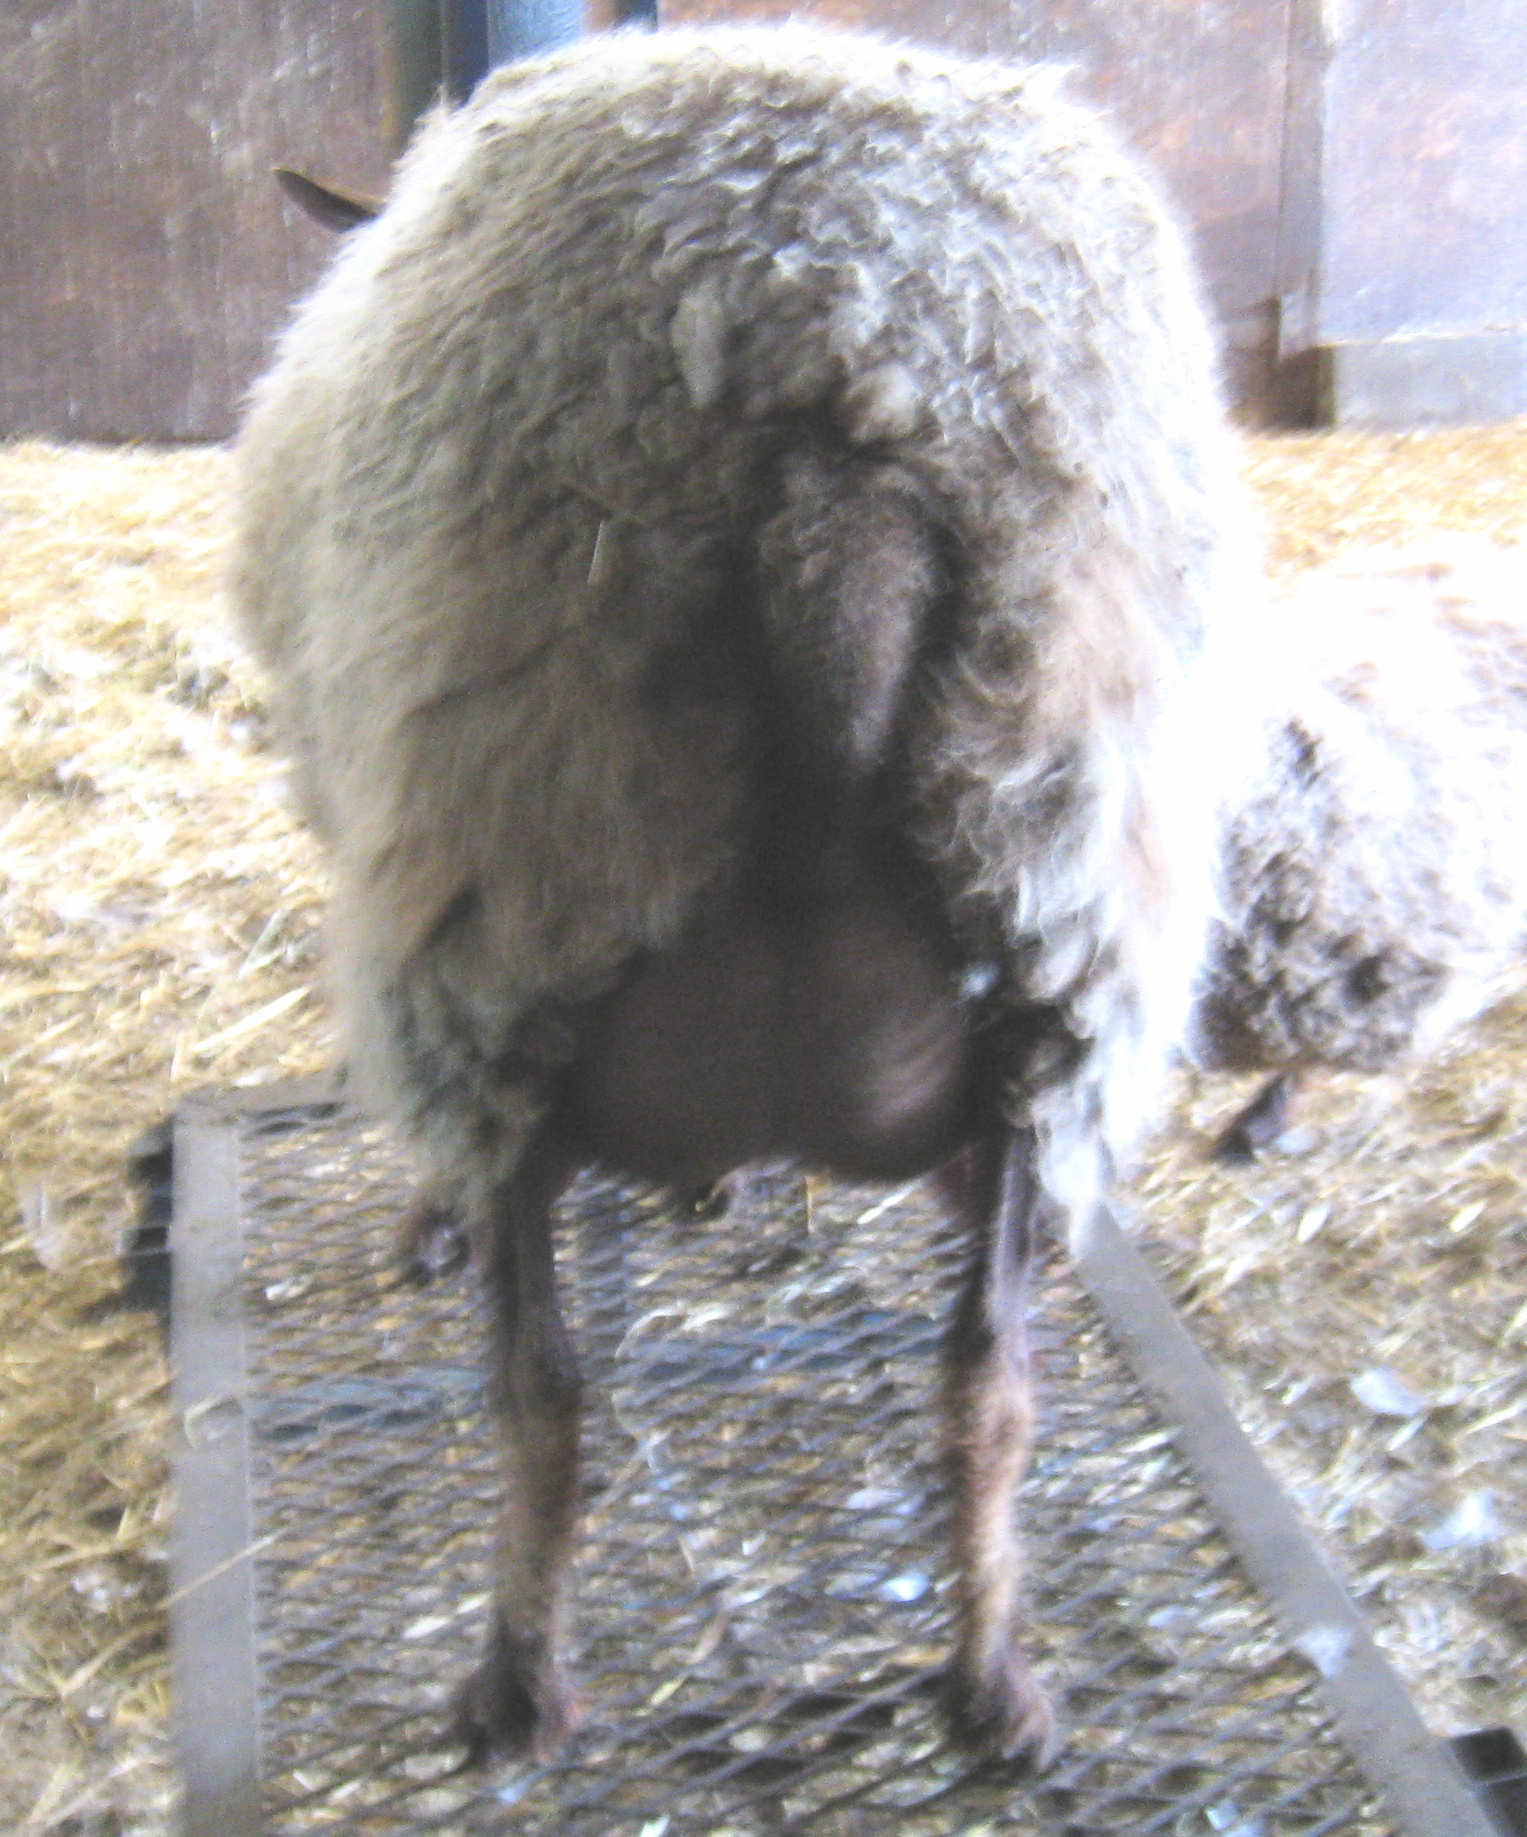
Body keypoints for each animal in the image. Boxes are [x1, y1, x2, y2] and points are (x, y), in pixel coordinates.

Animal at [233, 24, 1259, 1768]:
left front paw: (435, 1223)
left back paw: (514, 1689)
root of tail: (832, 398)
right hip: (1057, 951)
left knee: (543, 1391)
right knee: (989, 1376)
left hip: (502, 925)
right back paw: (994, 1685)